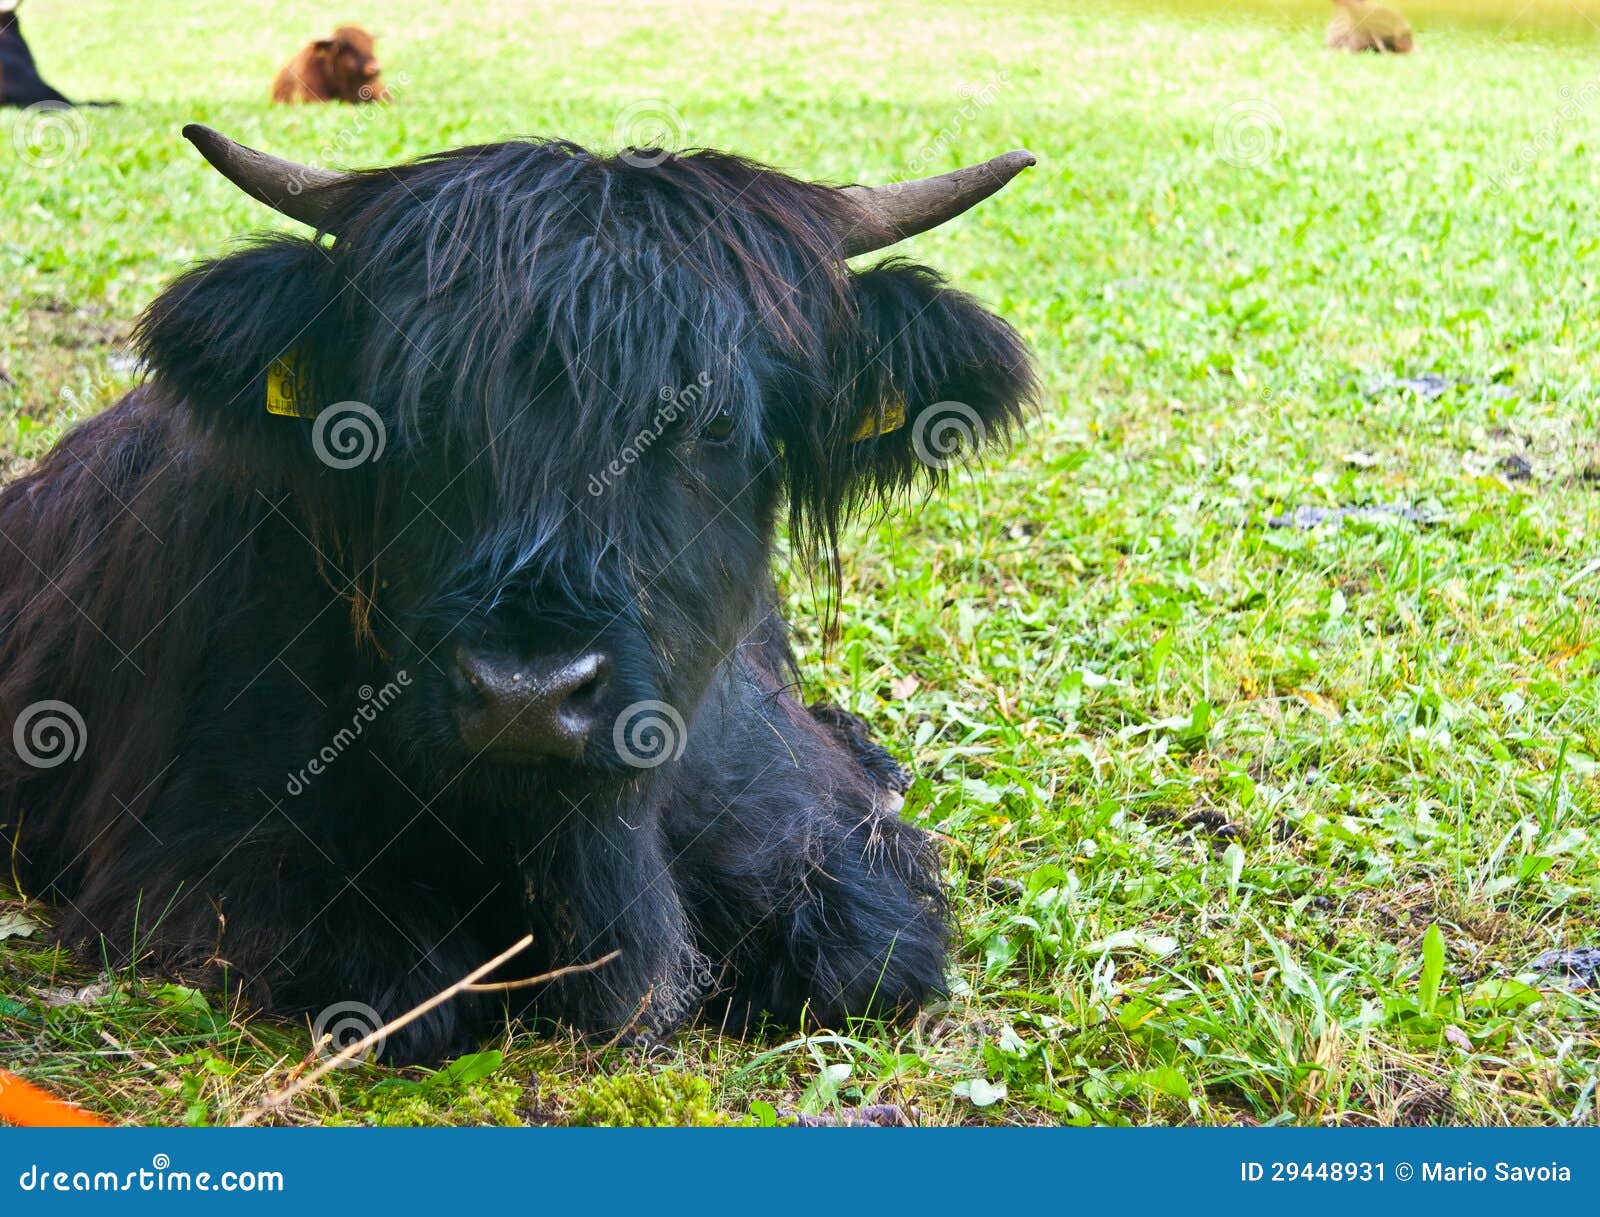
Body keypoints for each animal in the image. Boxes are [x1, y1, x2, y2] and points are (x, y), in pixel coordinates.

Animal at [0, 125, 1036, 1064]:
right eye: (406, 413)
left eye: (708, 421)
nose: (526, 694)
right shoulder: (196, 864)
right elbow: (415, 984)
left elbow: (865, 959)